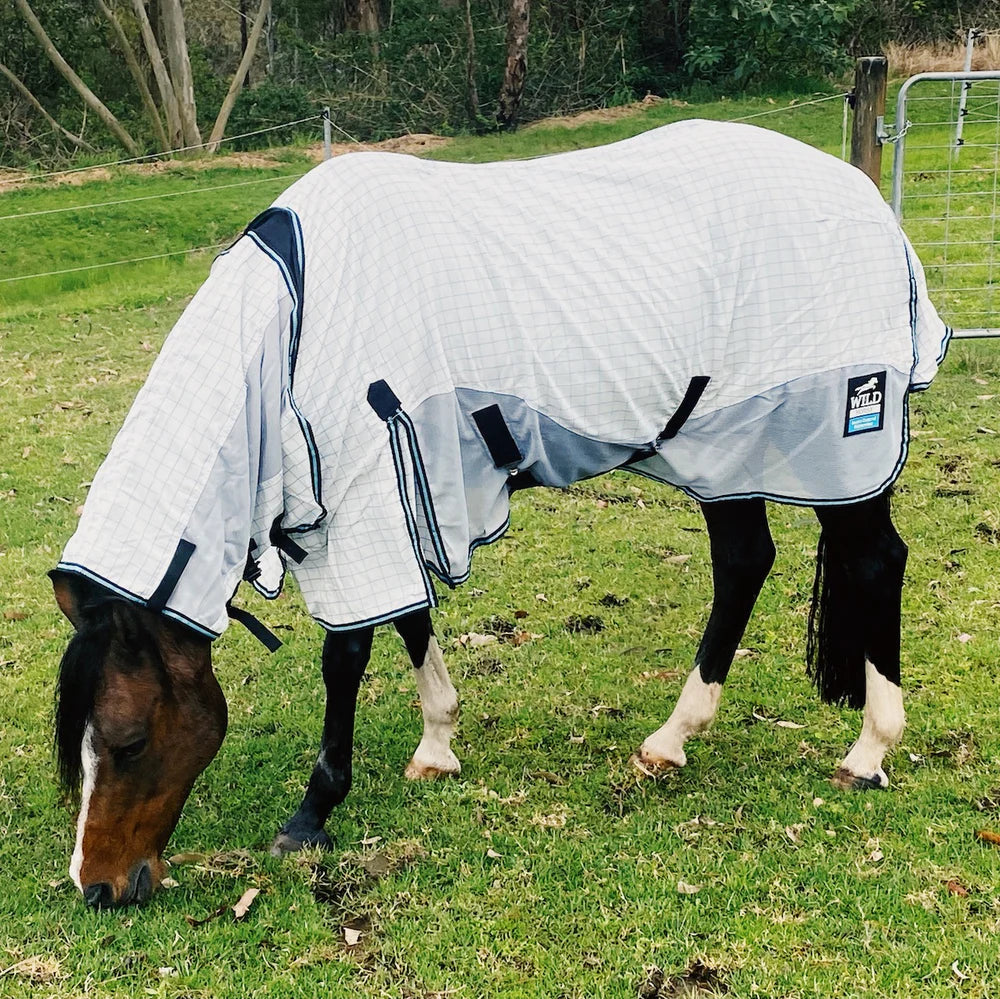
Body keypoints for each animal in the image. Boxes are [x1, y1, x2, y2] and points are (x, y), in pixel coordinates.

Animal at [52, 119, 950, 908]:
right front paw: (437, 745)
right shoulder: (394, 497)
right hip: (727, 450)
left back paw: (868, 751)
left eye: (129, 739)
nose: (97, 886)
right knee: (744, 564)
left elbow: (347, 656)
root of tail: (867, 203)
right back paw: (670, 740)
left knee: (876, 562)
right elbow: (412, 622)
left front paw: (312, 812)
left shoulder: (367, 504)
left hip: (836, 447)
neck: (298, 326)